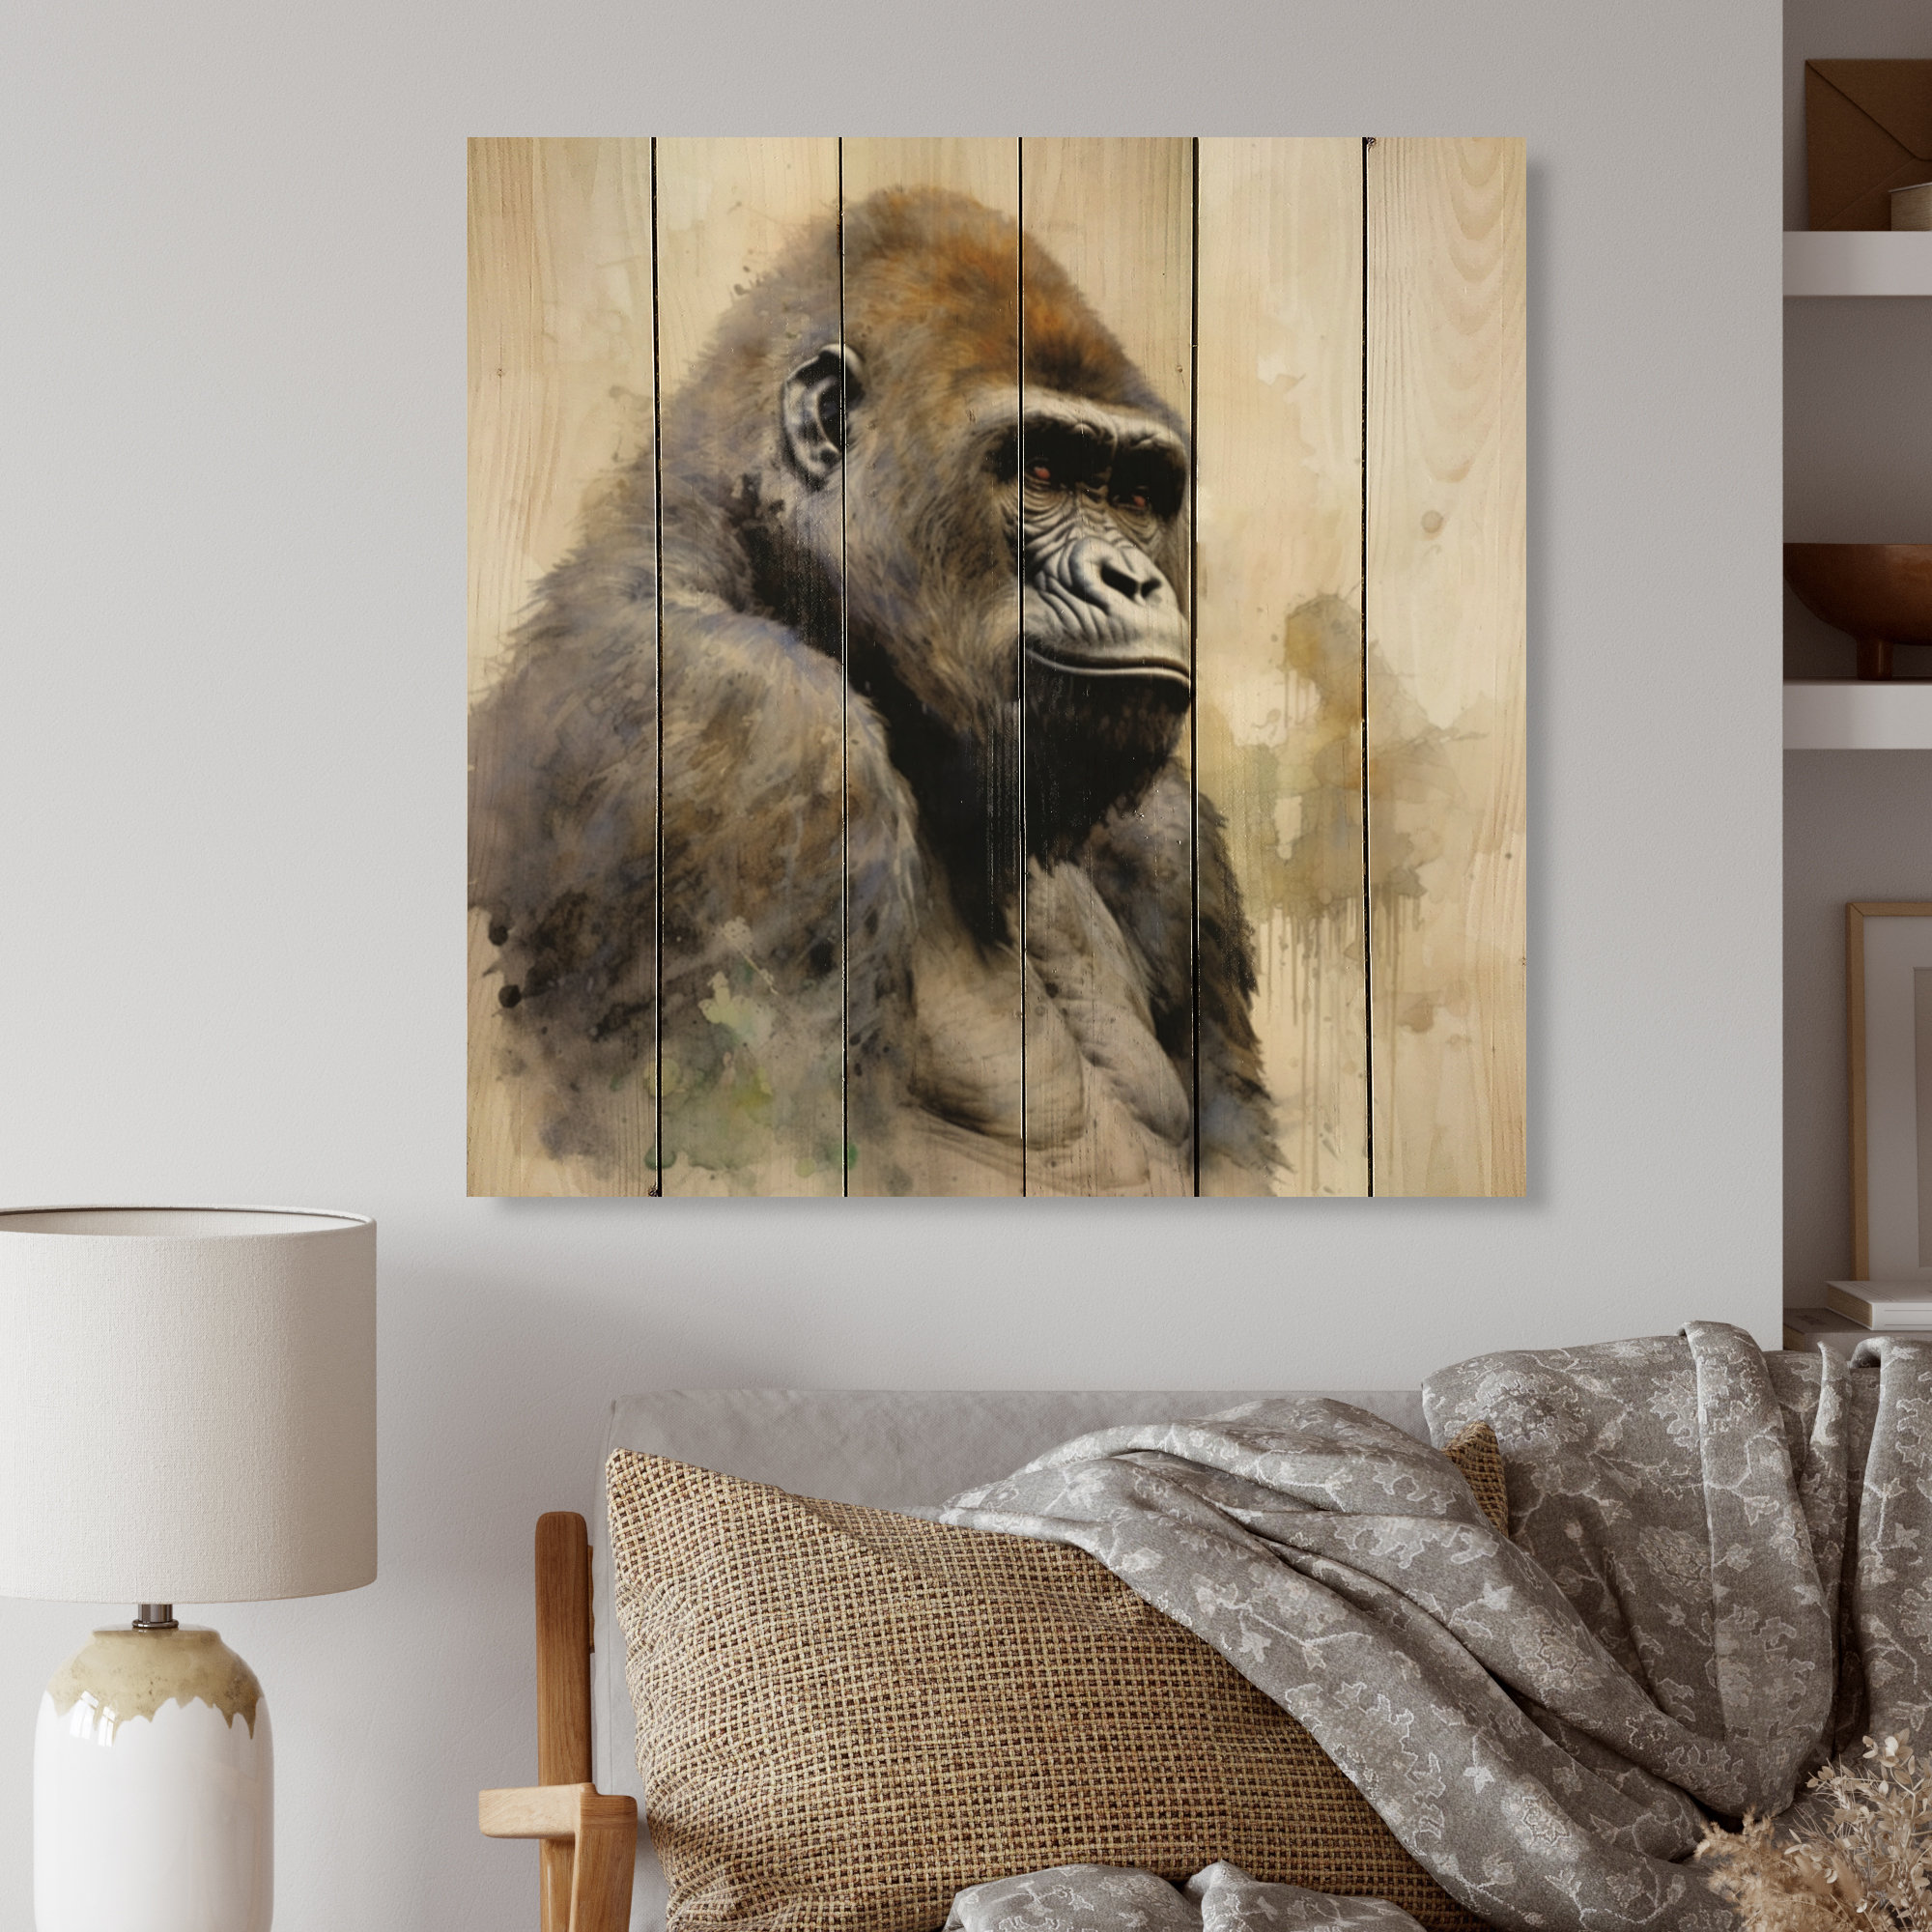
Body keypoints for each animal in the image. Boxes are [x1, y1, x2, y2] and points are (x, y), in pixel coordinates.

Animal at [470, 188, 1277, 1196]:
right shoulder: (760, 730)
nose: (1132, 581)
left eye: (1135, 494)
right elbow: (752, 1146)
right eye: (1042, 471)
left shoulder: (1171, 842)